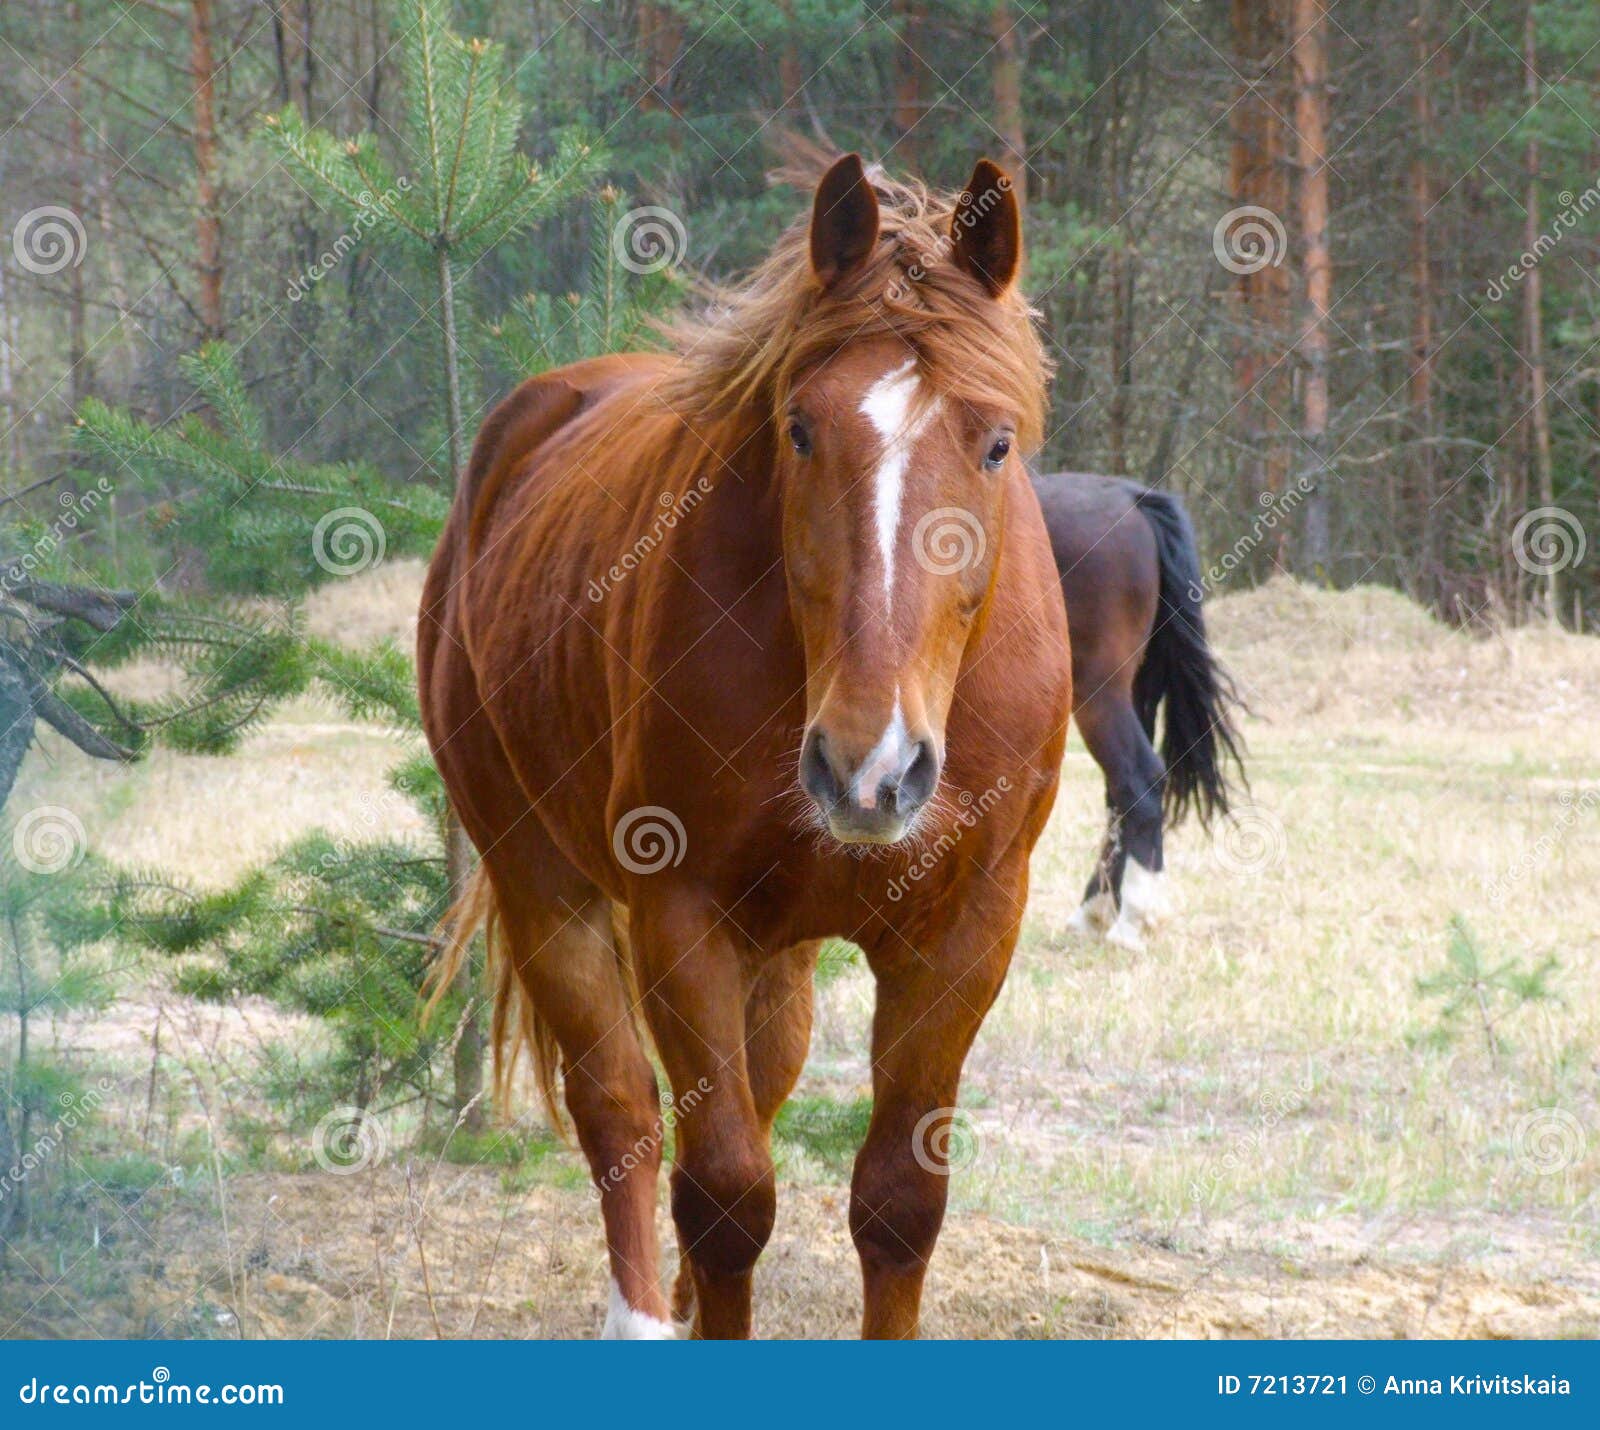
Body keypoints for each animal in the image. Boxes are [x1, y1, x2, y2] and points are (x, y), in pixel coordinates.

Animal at [418, 153, 1072, 1339]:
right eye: (800, 429)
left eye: (996, 442)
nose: (870, 766)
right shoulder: (681, 913)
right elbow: (723, 1195)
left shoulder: (968, 929)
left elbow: (898, 1204)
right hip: (539, 874)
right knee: (621, 1105)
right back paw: (640, 1313)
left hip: (780, 944)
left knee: (750, 1090)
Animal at [1031, 471, 1245, 950]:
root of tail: (1131, 498)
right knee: (1120, 794)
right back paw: (1095, 910)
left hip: (1100, 693)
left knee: (1137, 780)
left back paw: (1133, 920)